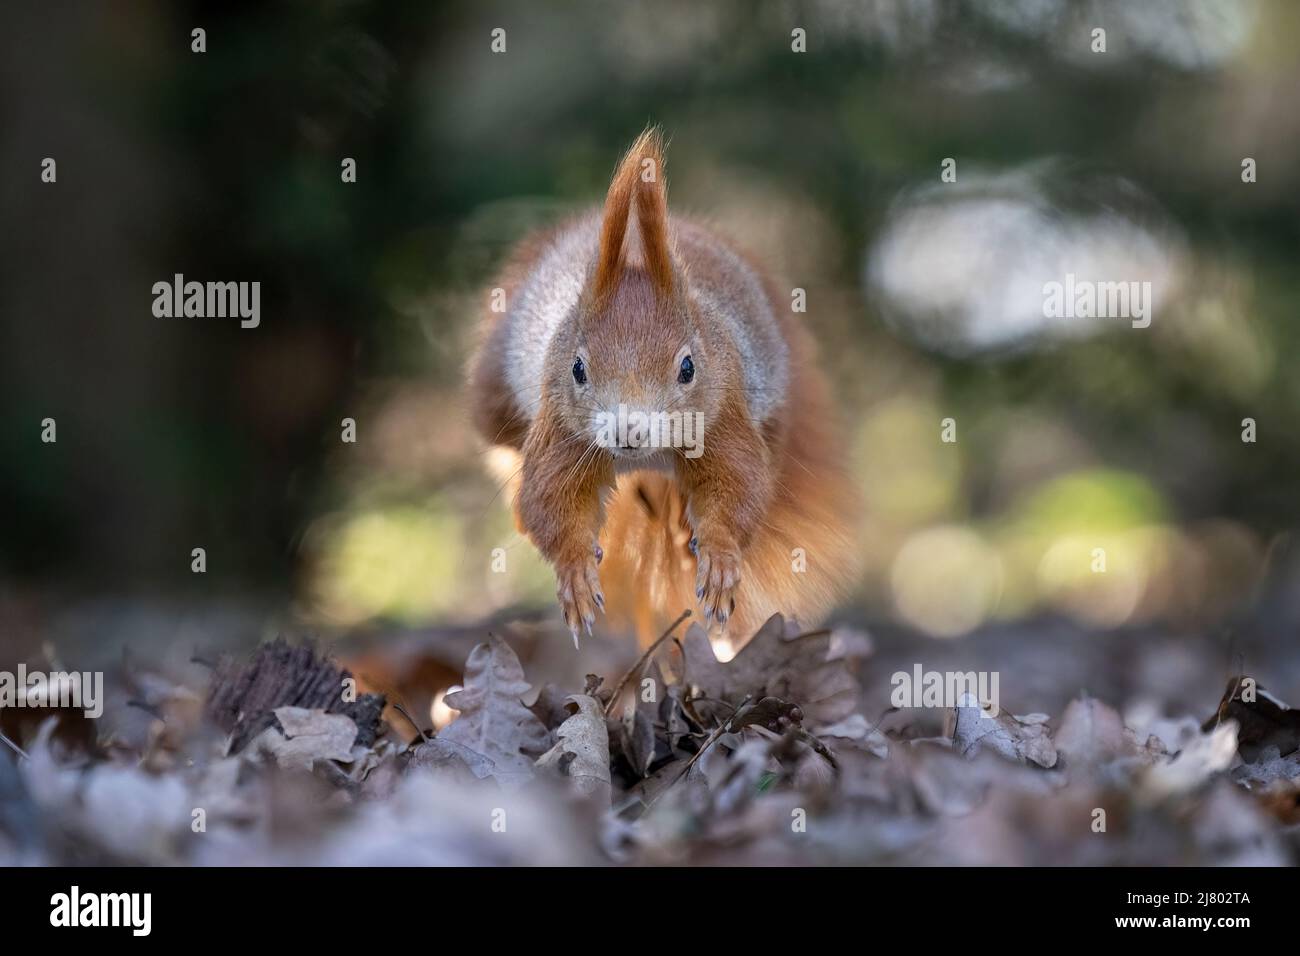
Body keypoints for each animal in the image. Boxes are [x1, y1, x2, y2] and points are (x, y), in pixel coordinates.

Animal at [468, 129, 859, 646]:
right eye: (577, 369)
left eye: (688, 368)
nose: (627, 432)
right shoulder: (562, 430)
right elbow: (549, 499)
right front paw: (574, 573)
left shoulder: (724, 414)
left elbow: (738, 488)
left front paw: (719, 558)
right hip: (496, 395)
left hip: (772, 402)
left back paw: (680, 524)